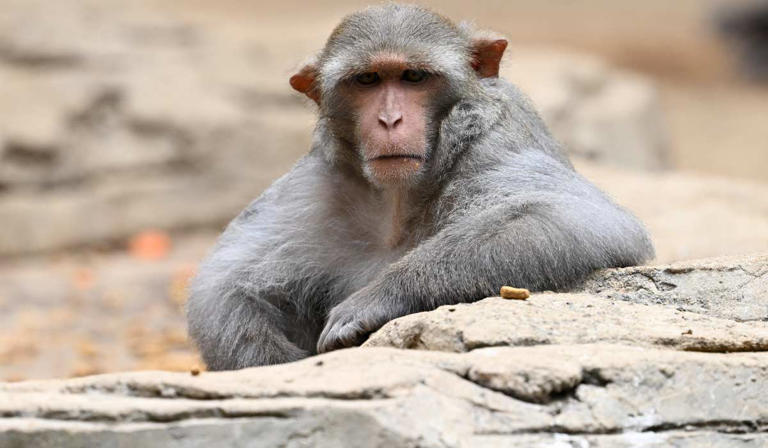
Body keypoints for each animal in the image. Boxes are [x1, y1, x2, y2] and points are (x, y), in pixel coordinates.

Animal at [187, 4, 654, 370]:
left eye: (413, 77)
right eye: (367, 80)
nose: (389, 120)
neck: (397, 199)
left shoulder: (493, 145)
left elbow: (572, 213)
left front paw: (380, 296)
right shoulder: (318, 182)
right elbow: (222, 283)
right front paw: (273, 362)